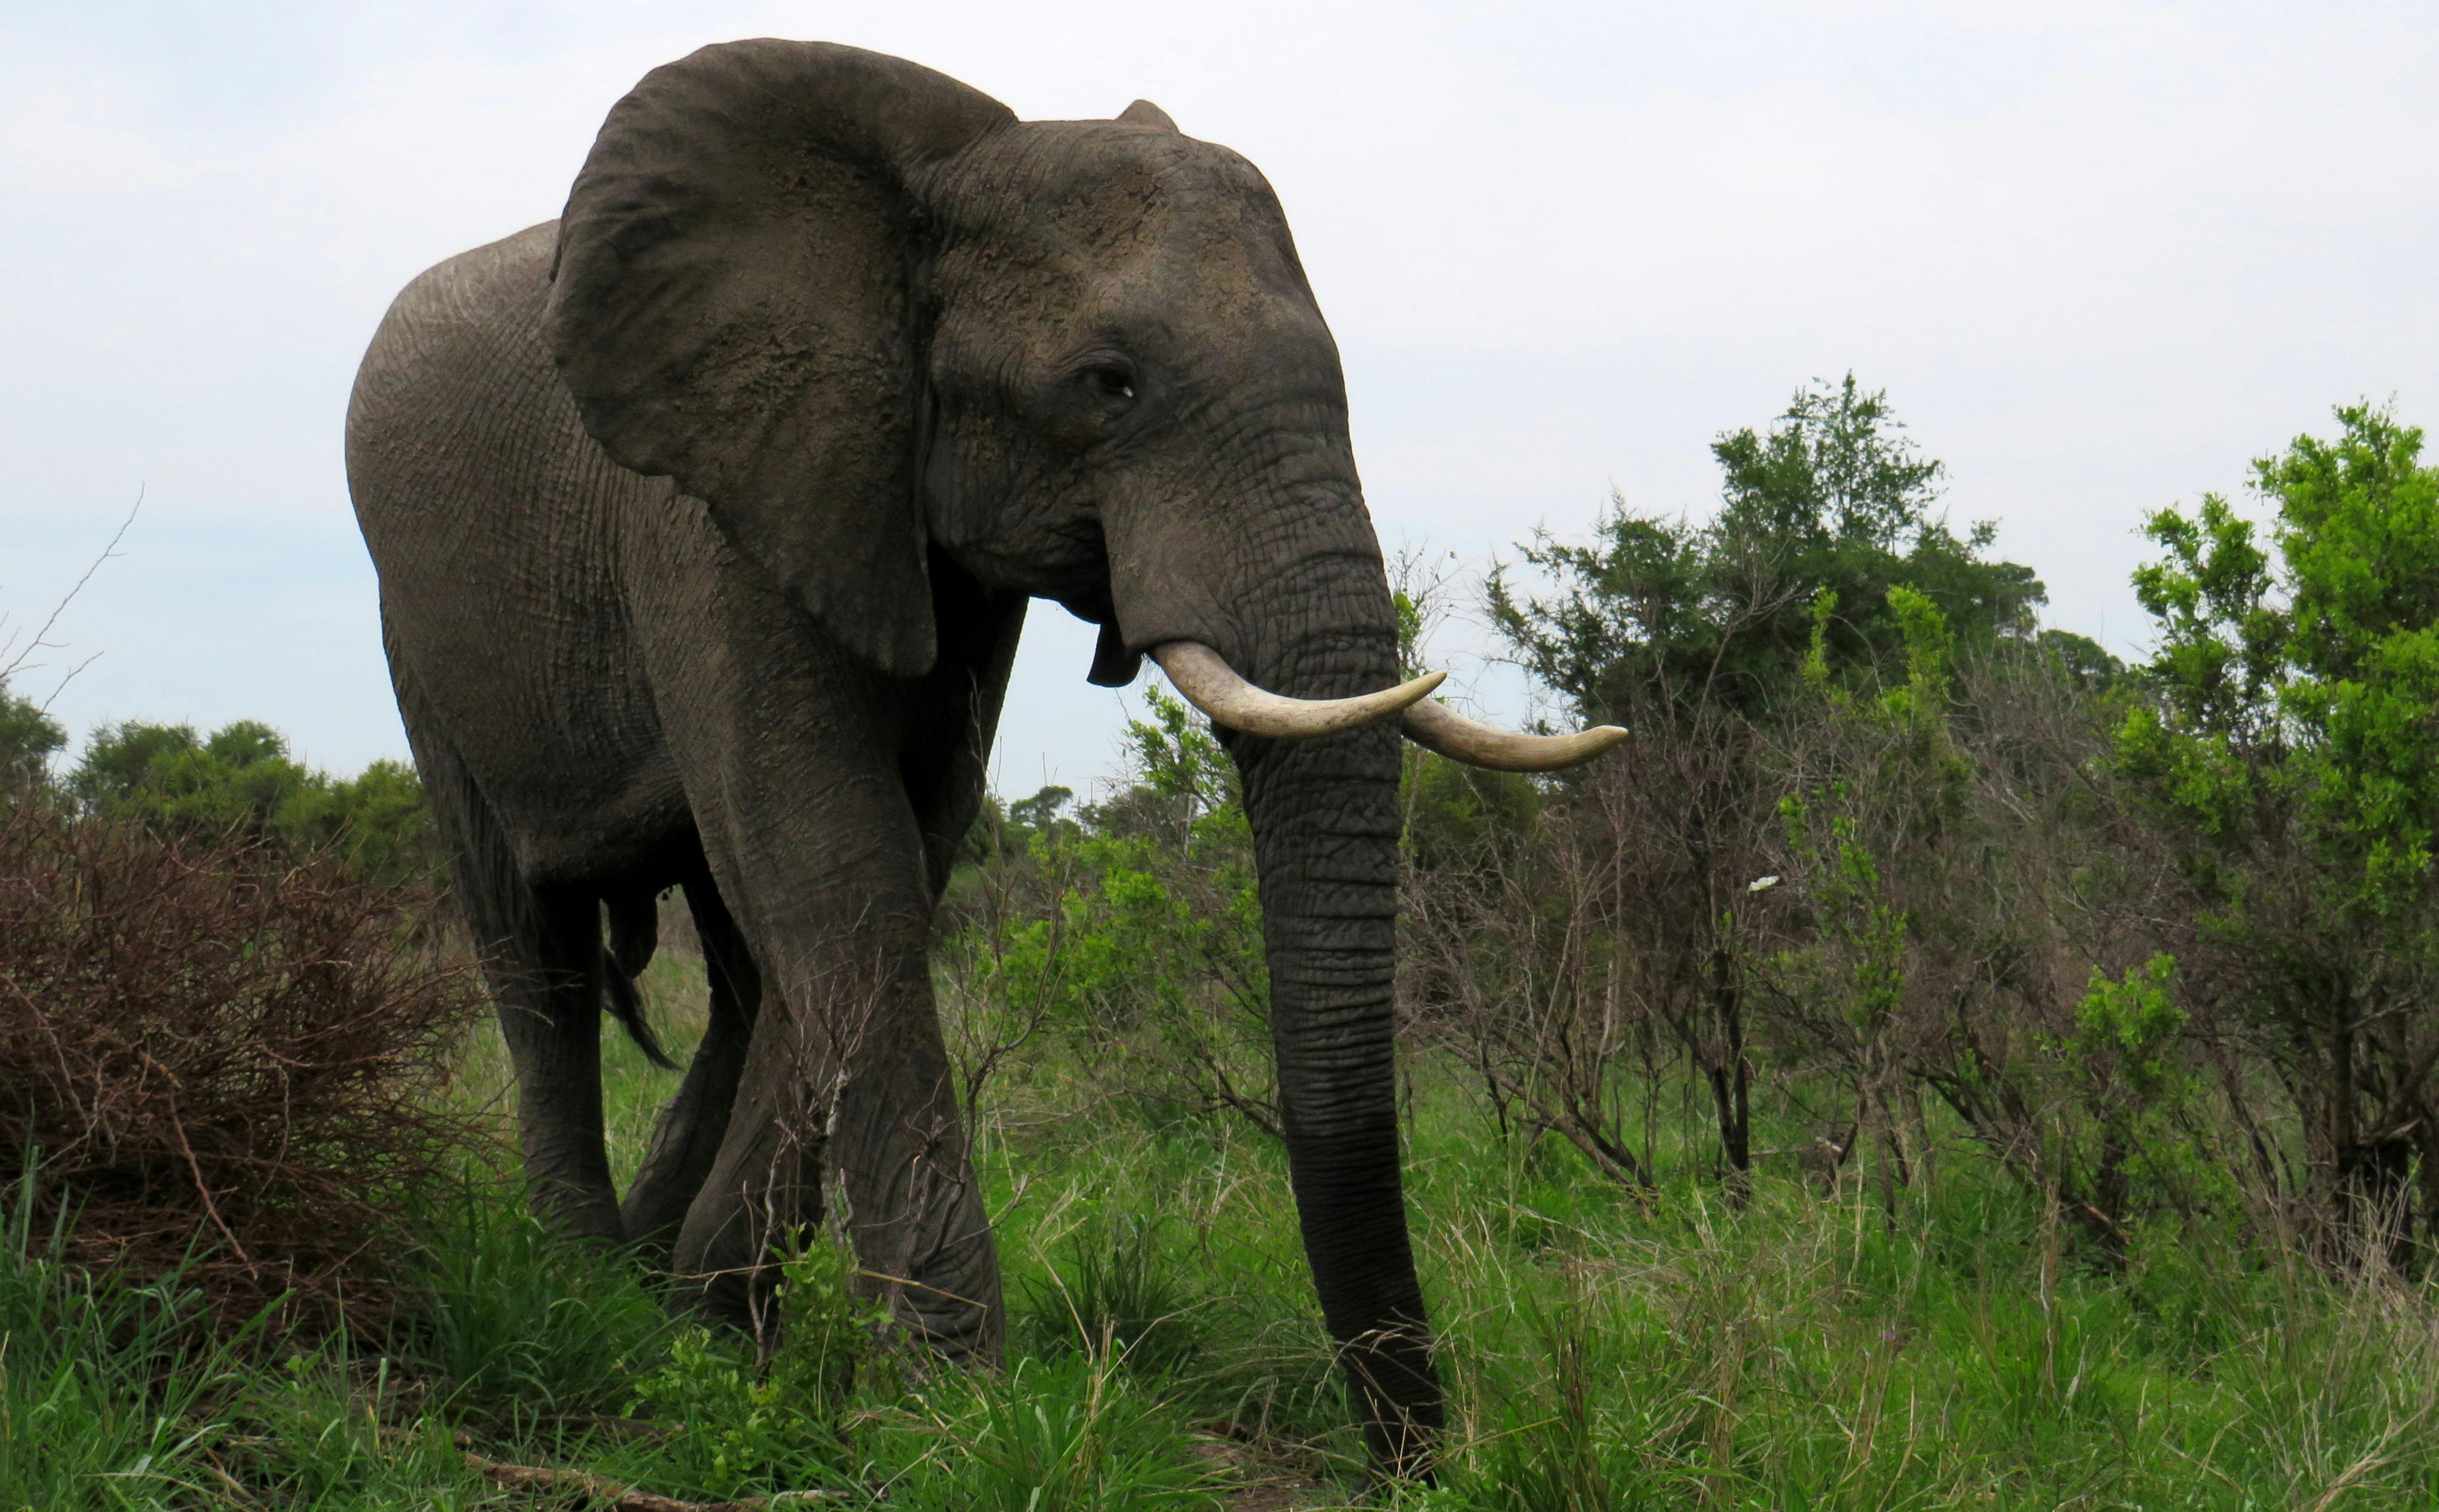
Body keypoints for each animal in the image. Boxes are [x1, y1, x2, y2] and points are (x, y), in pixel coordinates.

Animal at [345, 39, 1620, 1472]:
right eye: (1110, 383)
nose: (1420, 1463)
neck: (933, 180)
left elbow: (897, 853)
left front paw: (722, 1319)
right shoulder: (709, 498)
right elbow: (832, 861)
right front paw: (949, 1393)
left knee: (732, 964)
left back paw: (649, 1269)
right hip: (418, 633)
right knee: (537, 951)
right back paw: (576, 1280)